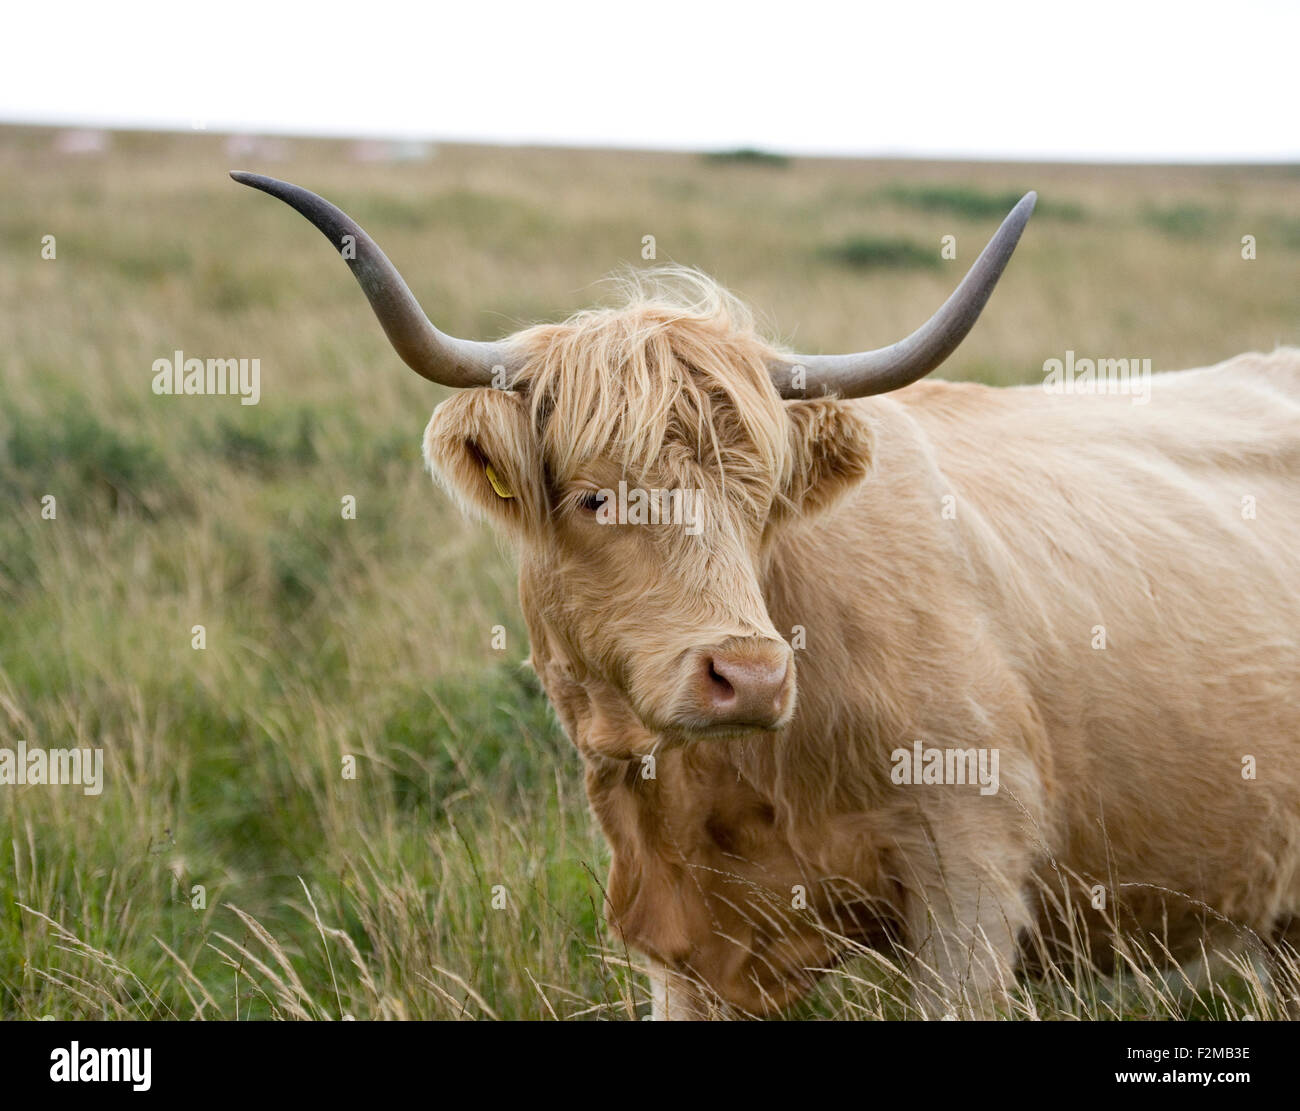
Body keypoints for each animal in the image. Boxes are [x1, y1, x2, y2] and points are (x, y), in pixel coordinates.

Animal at [232, 171, 1300, 1019]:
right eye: (593, 494)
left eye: (757, 502)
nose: (746, 676)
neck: (726, 782)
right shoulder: (682, 934)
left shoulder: (973, 882)